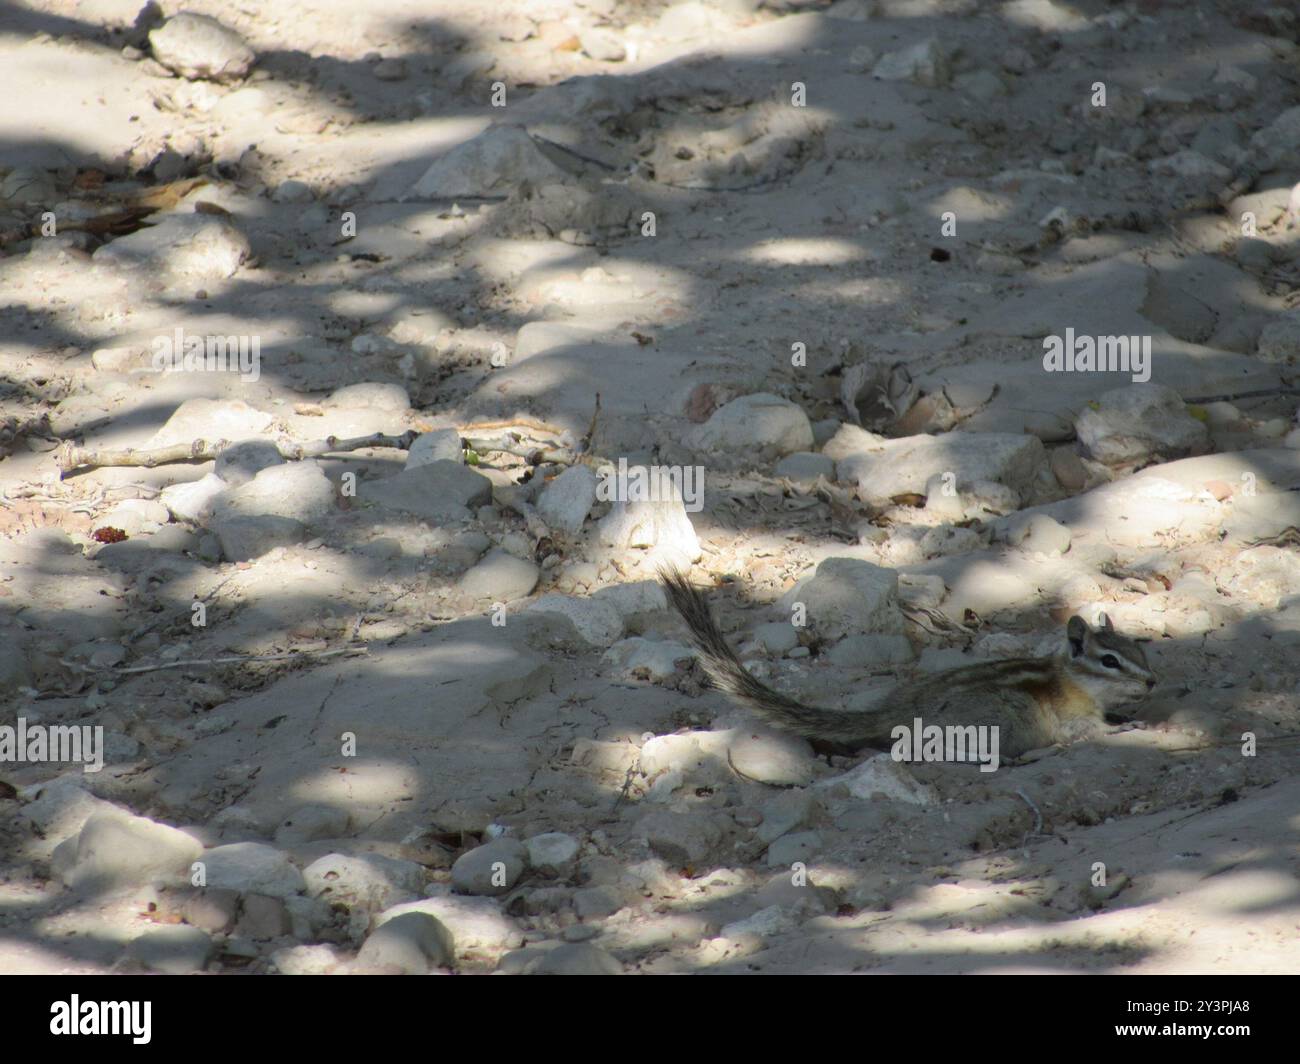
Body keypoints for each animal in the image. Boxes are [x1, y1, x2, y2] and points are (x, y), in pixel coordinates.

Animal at [660, 567, 1157, 762]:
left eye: (1139, 649)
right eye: (1109, 660)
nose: (1153, 682)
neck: (1073, 681)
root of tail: (899, 710)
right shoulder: (1072, 718)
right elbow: (1091, 731)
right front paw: (1129, 727)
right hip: (1004, 719)